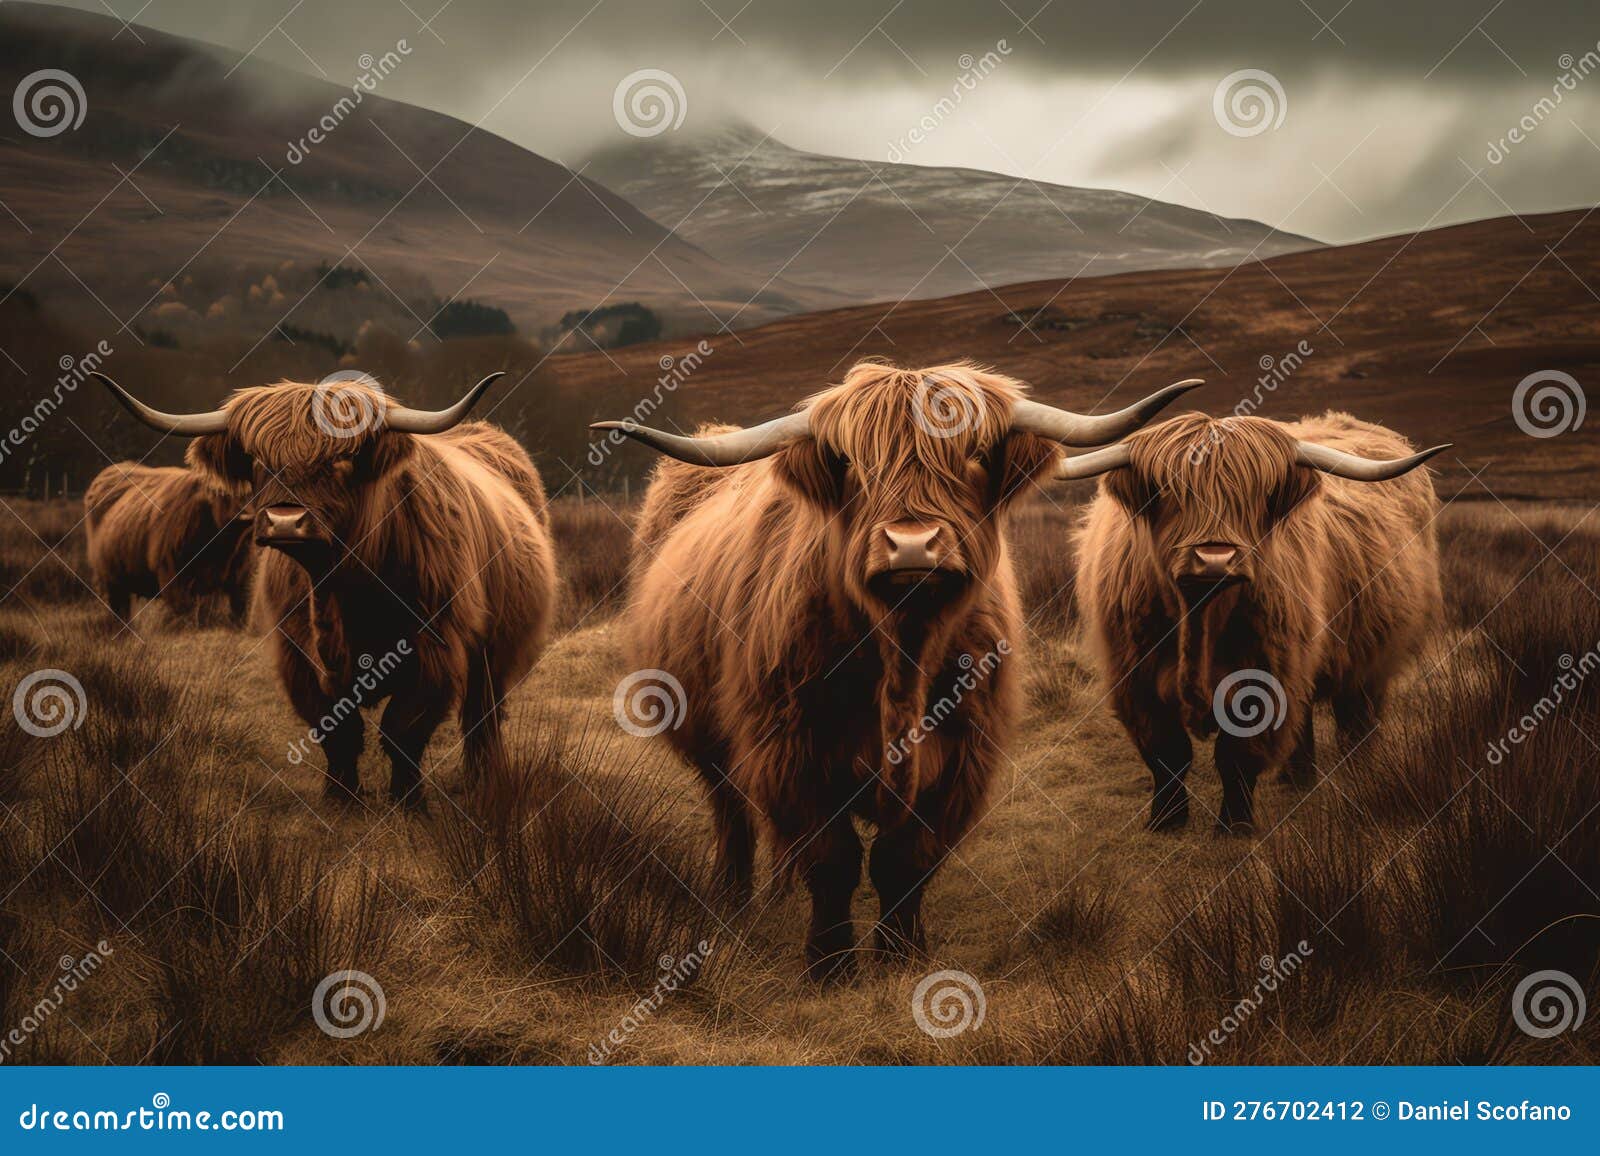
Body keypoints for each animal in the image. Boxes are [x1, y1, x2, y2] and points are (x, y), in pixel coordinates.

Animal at [83, 462, 254, 624]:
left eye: (250, 493)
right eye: (223, 493)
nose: (246, 516)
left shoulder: (241, 574)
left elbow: (239, 606)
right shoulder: (173, 574)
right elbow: (187, 611)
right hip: (109, 577)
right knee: (119, 606)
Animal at [596, 360, 1201, 978]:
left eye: (974, 455)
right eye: (851, 462)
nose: (911, 545)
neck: (902, 654)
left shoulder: (962, 756)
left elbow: (903, 859)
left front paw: (901, 953)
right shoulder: (789, 749)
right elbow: (832, 858)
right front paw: (830, 962)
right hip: (707, 738)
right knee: (731, 810)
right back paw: (733, 894)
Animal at [1070, 410, 1447, 835]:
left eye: (1254, 494)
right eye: (1169, 493)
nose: (1214, 559)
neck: (1201, 611)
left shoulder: (1266, 672)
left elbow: (1237, 755)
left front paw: (1234, 825)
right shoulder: (1136, 678)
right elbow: (1167, 752)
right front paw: (1166, 820)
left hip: (1372, 651)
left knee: (1358, 714)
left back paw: (1359, 773)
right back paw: (1296, 777)